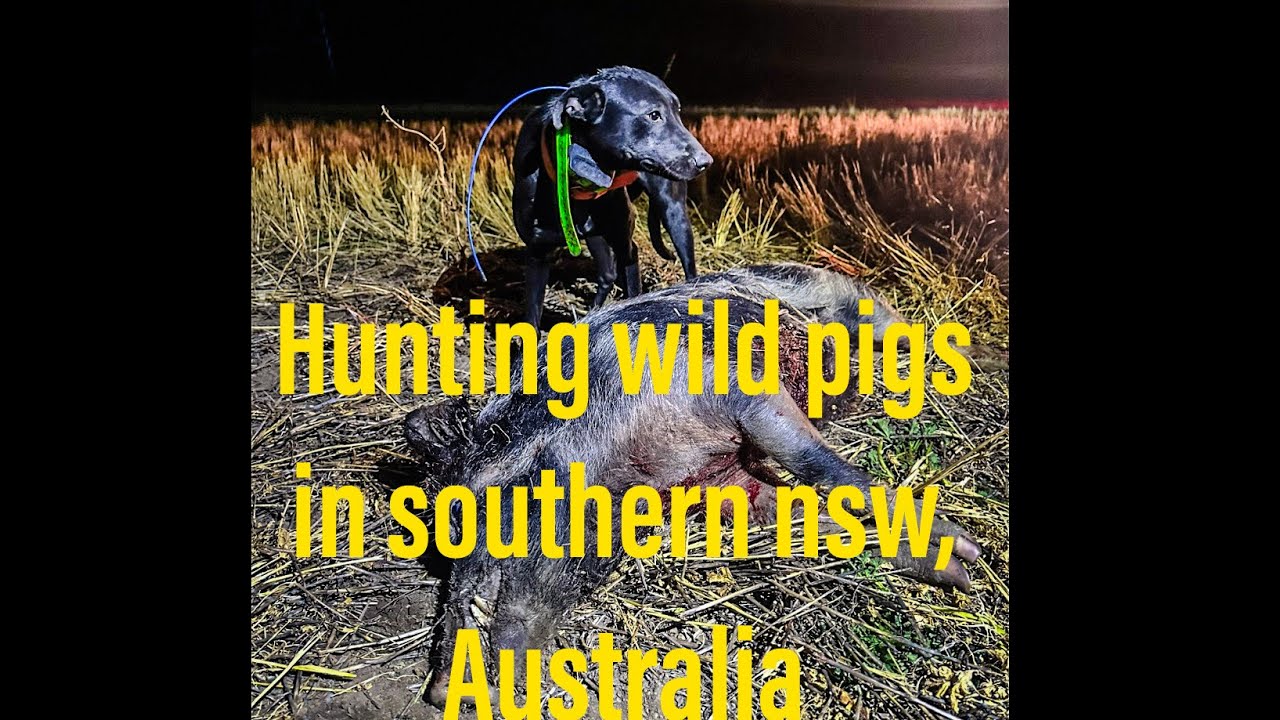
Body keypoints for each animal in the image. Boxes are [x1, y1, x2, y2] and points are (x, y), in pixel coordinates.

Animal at [403, 263, 985, 708]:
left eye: (492, 500)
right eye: (444, 545)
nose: (442, 693)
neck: (642, 471)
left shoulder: (745, 399)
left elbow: (827, 472)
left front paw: (971, 556)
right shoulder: (727, 483)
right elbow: (806, 513)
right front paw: (960, 576)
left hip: (830, 290)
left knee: (889, 318)